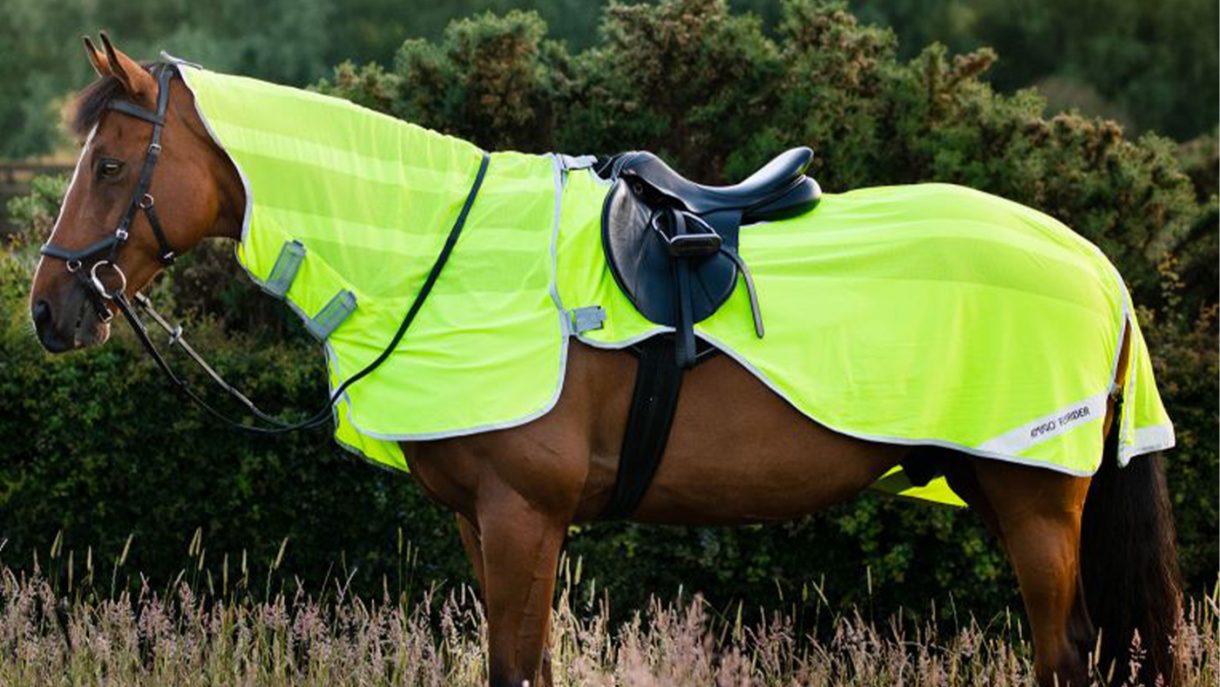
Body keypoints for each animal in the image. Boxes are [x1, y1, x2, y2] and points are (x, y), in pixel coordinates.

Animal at [28, 35, 1183, 687]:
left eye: (114, 165)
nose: (48, 311)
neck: (441, 254)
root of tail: (1094, 263)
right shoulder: (483, 521)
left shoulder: (522, 516)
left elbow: (514, 668)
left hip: (1033, 501)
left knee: (1063, 653)